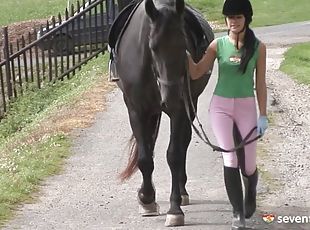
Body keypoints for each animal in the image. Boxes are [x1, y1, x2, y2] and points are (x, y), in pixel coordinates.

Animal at [112, 0, 214, 226]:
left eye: (184, 44)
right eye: (153, 47)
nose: (173, 96)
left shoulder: (180, 111)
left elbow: (174, 155)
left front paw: (174, 209)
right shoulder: (137, 111)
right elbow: (144, 157)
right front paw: (147, 199)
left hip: (190, 105)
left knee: (184, 143)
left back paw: (182, 192)